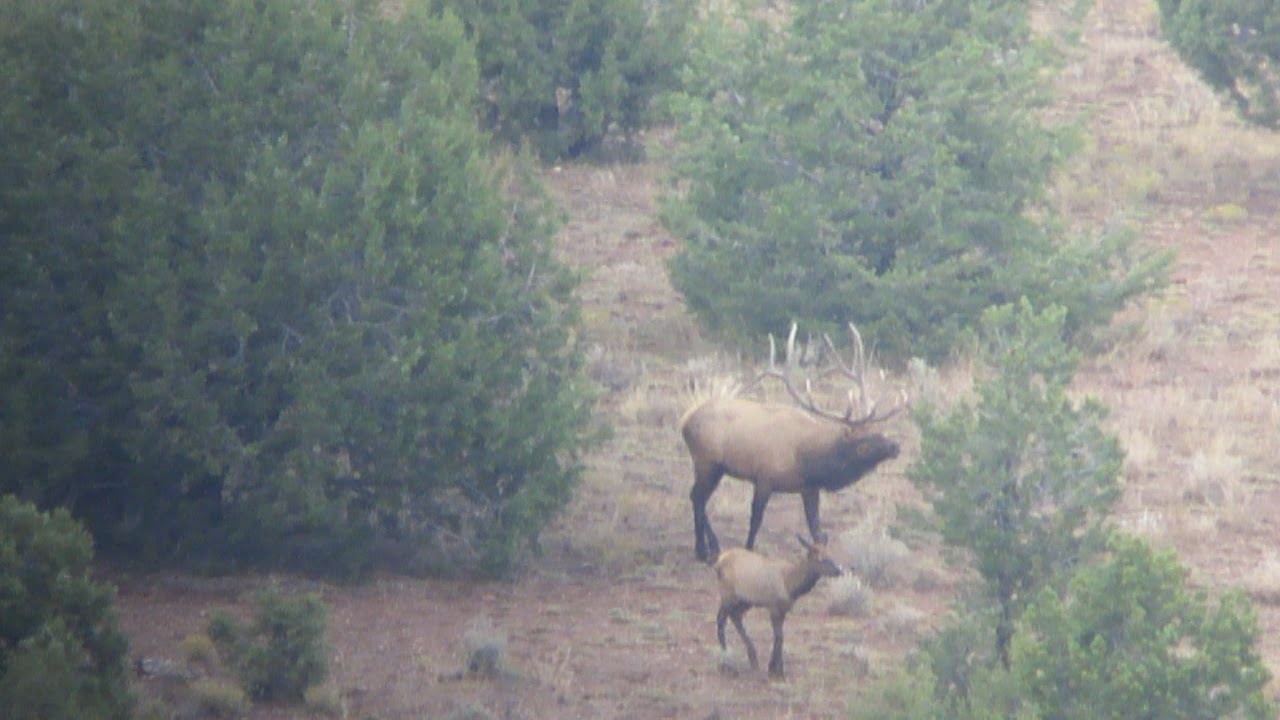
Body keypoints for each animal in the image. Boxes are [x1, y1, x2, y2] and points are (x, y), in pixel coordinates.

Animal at [680, 322, 903, 561]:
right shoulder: (764, 478)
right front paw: (748, 551)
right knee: (697, 498)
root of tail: (685, 422)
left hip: (716, 467)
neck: (808, 462)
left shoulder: (810, 489)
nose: (895, 447)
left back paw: (708, 547)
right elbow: (755, 520)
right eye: (863, 441)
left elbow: (817, 531)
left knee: (697, 497)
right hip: (706, 461)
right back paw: (705, 549)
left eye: (880, 431)